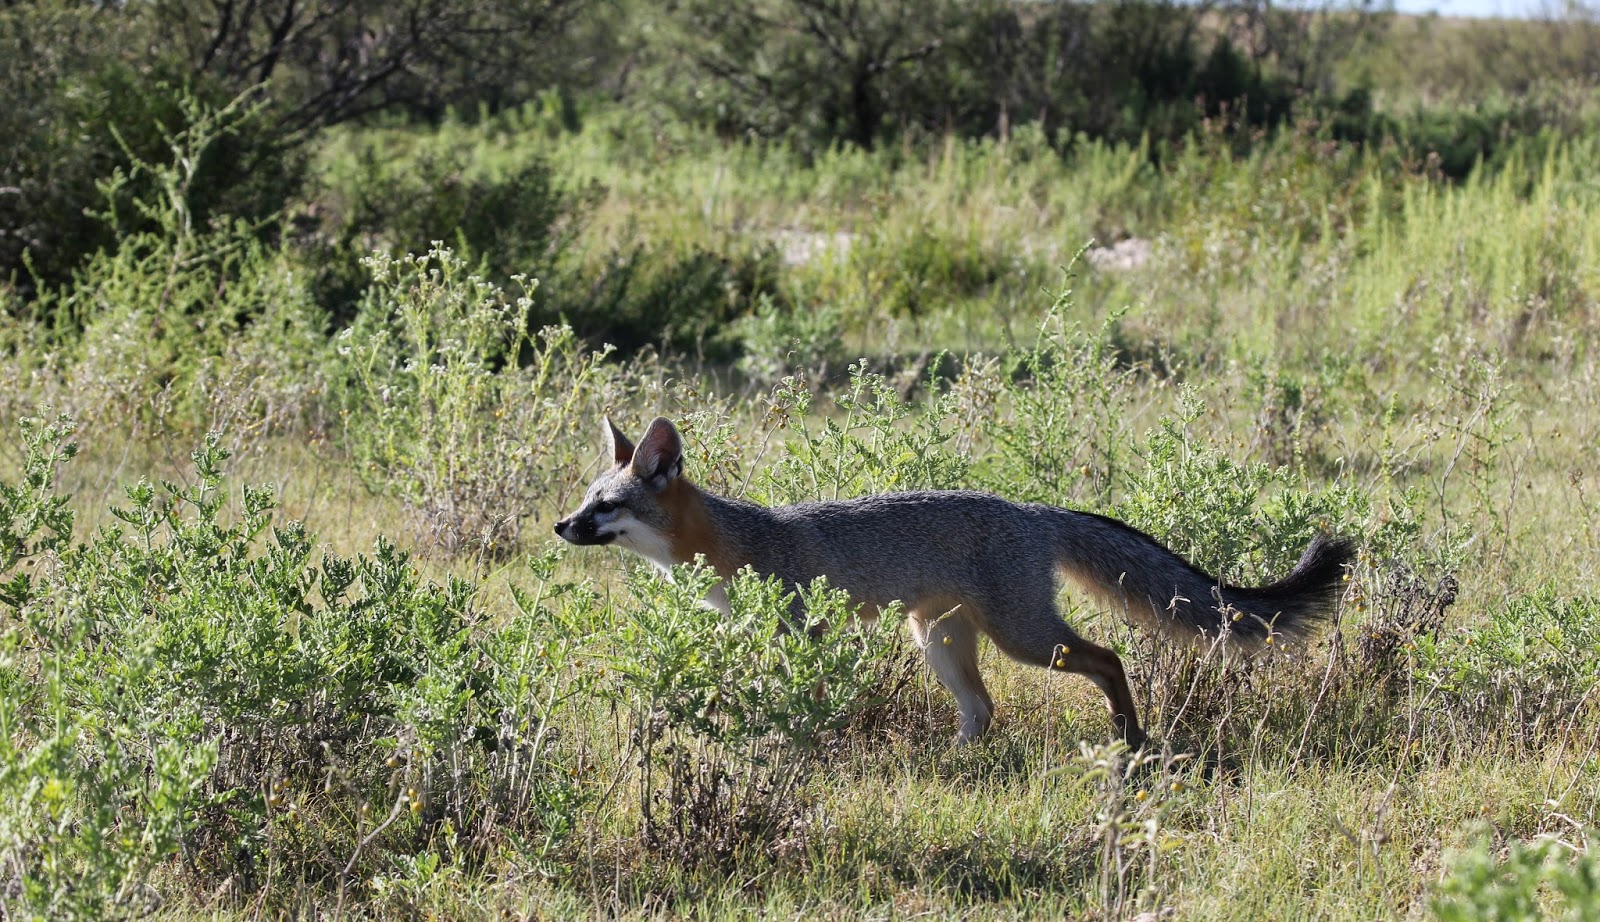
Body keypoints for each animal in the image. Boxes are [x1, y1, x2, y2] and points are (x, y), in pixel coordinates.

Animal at [555, 415, 1354, 748]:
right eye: (585, 500)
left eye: (605, 506)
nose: (560, 527)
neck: (734, 543)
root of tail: (1034, 509)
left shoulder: (804, 633)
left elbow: (796, 705)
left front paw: (792, 747)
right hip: (940, 643)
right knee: (985, 710)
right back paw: (958, 758)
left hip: (1027, 640)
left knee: (1109, 659)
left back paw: (1132, 738)